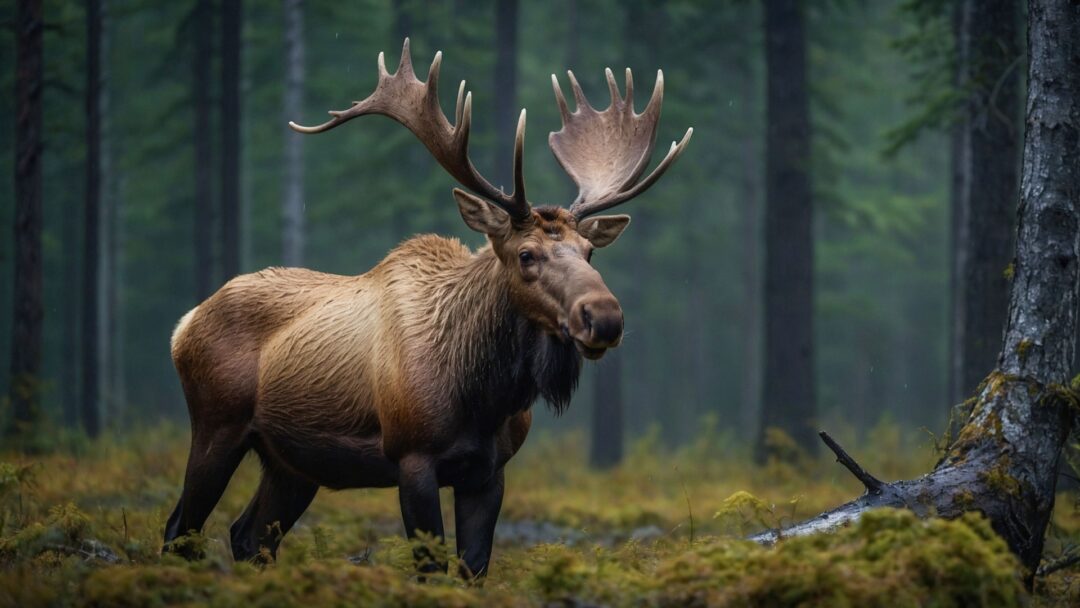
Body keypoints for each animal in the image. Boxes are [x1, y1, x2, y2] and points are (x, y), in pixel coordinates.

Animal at [162, 39, 692, 578]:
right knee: (181, 527)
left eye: (589, 252)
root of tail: (183, 325)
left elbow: (473, 567)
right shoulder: (413, 458)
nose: (604, 317)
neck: (485, 395)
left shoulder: (489, 471)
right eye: (526, 255)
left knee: (248, 536)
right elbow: (431, 568)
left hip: (293, 462)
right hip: (217, 425)